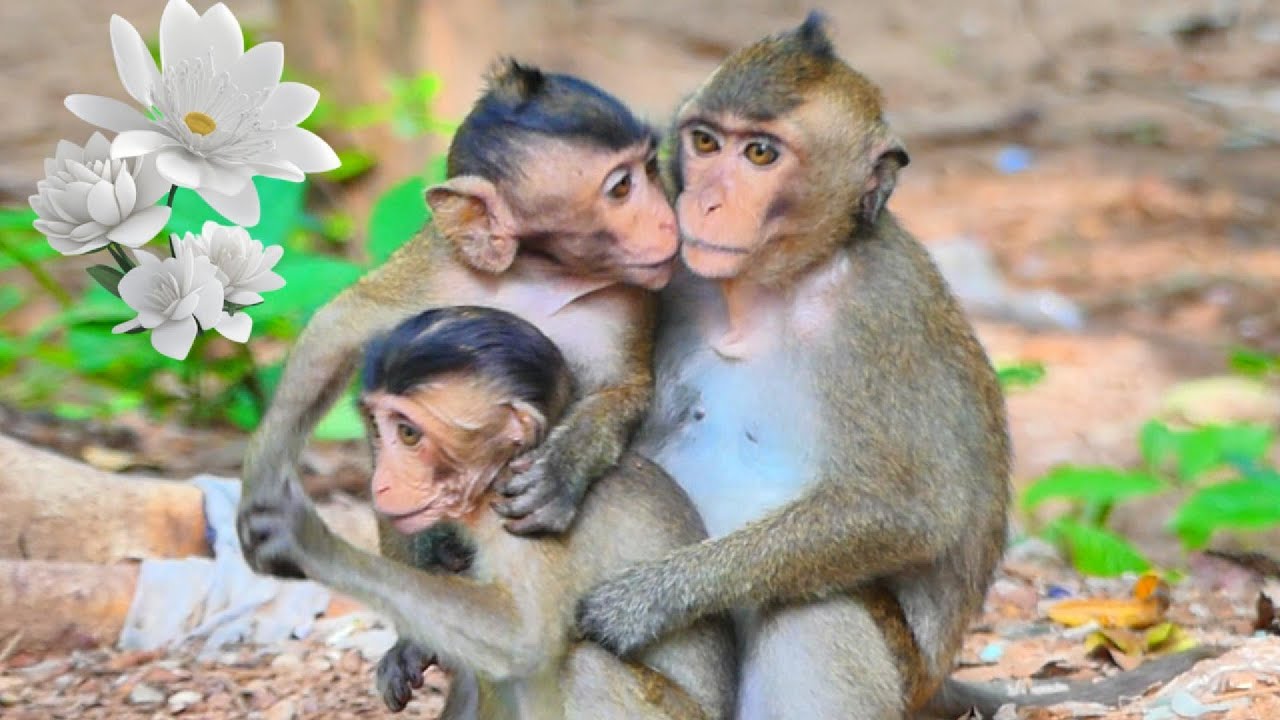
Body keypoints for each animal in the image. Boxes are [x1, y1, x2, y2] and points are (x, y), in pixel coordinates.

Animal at [236, 58, 680, 579]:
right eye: (622, 188)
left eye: (650, 169)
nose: (668, 219)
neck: (538, 273)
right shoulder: (438, 262)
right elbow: (342, 324)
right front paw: (262, 476)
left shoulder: (630, 298)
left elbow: (626, 388)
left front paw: (565, 465)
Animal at [241, 305, 736, 719]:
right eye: (378, 430)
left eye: (408, 433)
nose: (380, 480)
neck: (500, 476)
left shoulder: (525, 523)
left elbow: (524, 639)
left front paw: (307, 541)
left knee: (584, 670)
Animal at [572, 13, 1220, 719]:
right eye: (706, 142)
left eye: (761, 155)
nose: (707, 202)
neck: (770, 286)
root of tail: (938, 681)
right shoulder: (676, 274)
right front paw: (572, 452)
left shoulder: (884, 310)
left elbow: (914, 511)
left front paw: (652, 596)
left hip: (901, 672)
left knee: (816, 608)